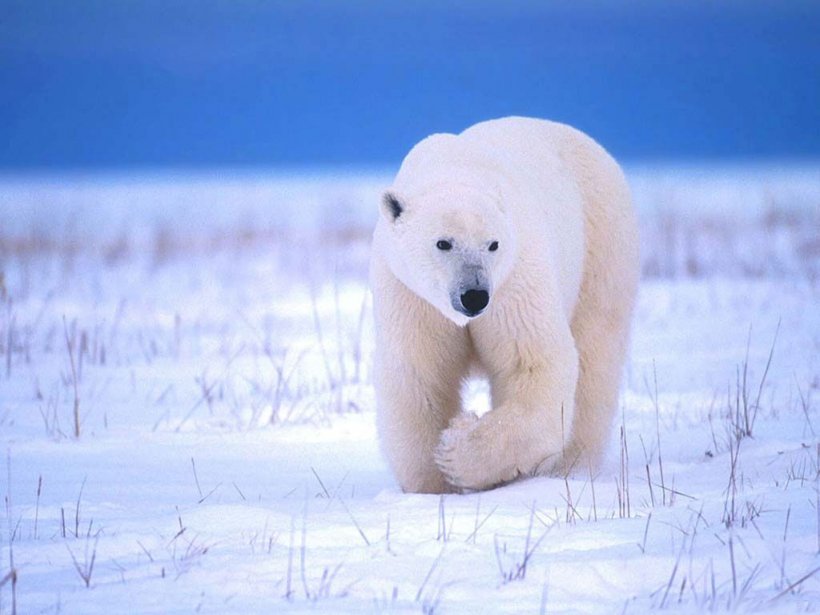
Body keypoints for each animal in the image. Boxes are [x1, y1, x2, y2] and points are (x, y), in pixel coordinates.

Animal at [370, 116, 639, 494]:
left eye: (493, 244)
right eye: (443, 243)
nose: (474, 295)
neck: (455, 168)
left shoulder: (515, 279)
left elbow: (532, 363)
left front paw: (457, 447)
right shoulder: (410, 294)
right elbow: (419, 374)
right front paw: (433, 486)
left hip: (602, 244)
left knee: (595, 356)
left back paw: (570, 465)